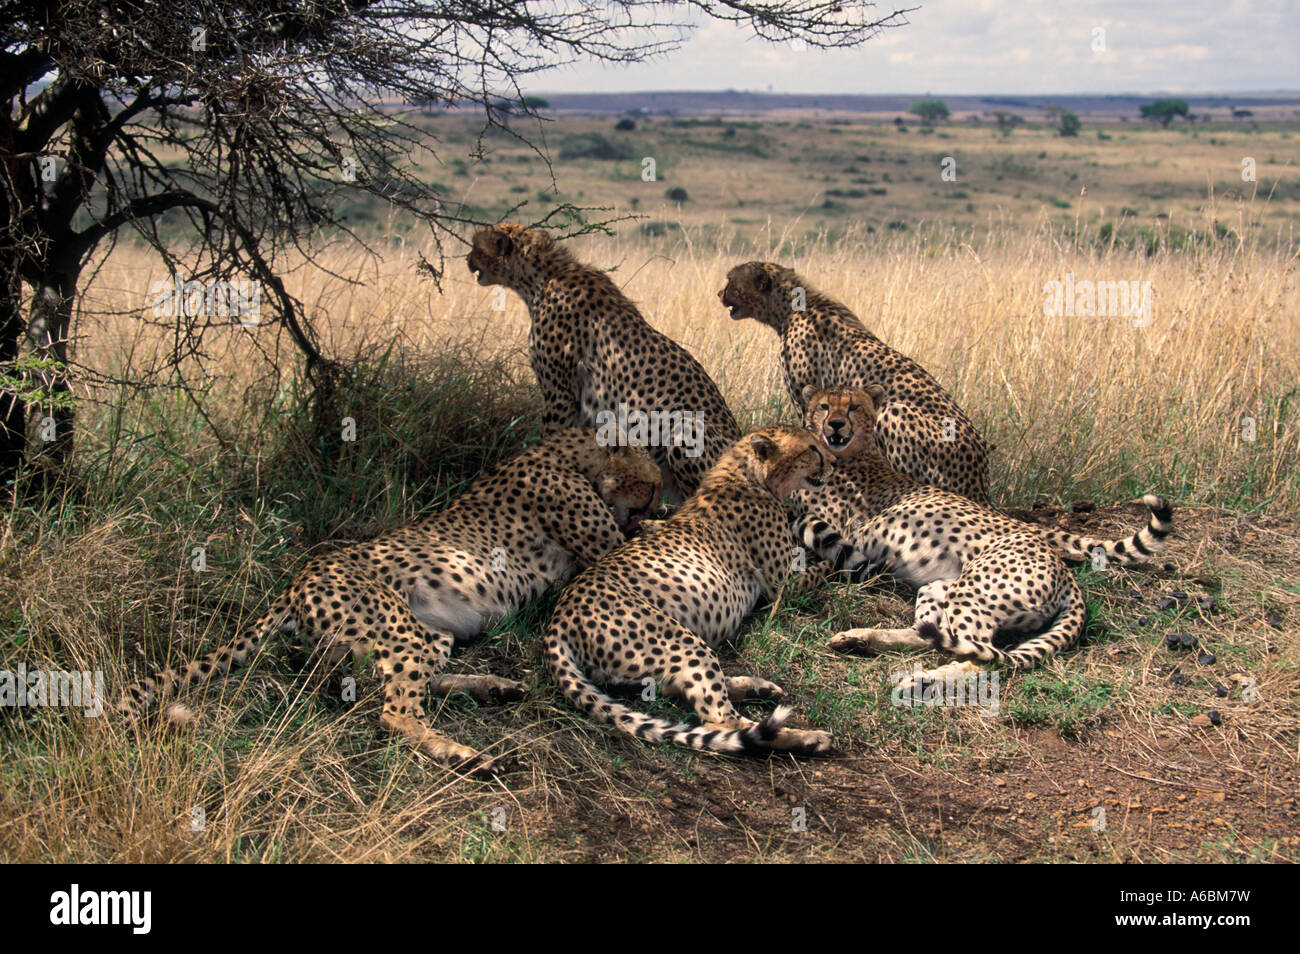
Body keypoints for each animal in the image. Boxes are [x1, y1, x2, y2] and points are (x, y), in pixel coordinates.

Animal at [118, 429, 662, 775]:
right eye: (652, 483)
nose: (656, 496)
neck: (573, 455)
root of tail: (295, 581)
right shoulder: (604, 545)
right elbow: (644, 538)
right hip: (395, 627)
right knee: (393, 713)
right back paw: (466, 756)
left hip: (424, 631)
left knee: (410, 681)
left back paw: (493, 689)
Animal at [469, 223, 741, 504]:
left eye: (477, 247)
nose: (468, 261)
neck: (541, 277)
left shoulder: (560, 394)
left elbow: (551, 436)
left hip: (686, 425)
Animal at [543, 425, 837, 756]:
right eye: (812, 449)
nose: (834, 462)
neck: (749, 475)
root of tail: (558, 617)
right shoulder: (784, 585)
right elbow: (824, 568)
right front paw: (844, 556)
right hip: (679, 639)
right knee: (723, 722)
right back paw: (809, 737)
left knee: (680, 687)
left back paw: (756, 687)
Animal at [719, 260, 993, 506]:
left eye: (730, 280)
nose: (719, 293)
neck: (789, 308)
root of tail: (980, 479)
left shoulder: (805, 399)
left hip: (892, 411)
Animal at [791, 386, 1174, 686]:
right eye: (824, 406)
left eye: (853, 407)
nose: (835, 424)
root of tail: (1067, 575)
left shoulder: (834, 523)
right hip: (939, 588)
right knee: (931, 635)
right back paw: (860, 639)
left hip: (973, 591)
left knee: (981, 658)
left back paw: (922, 680)